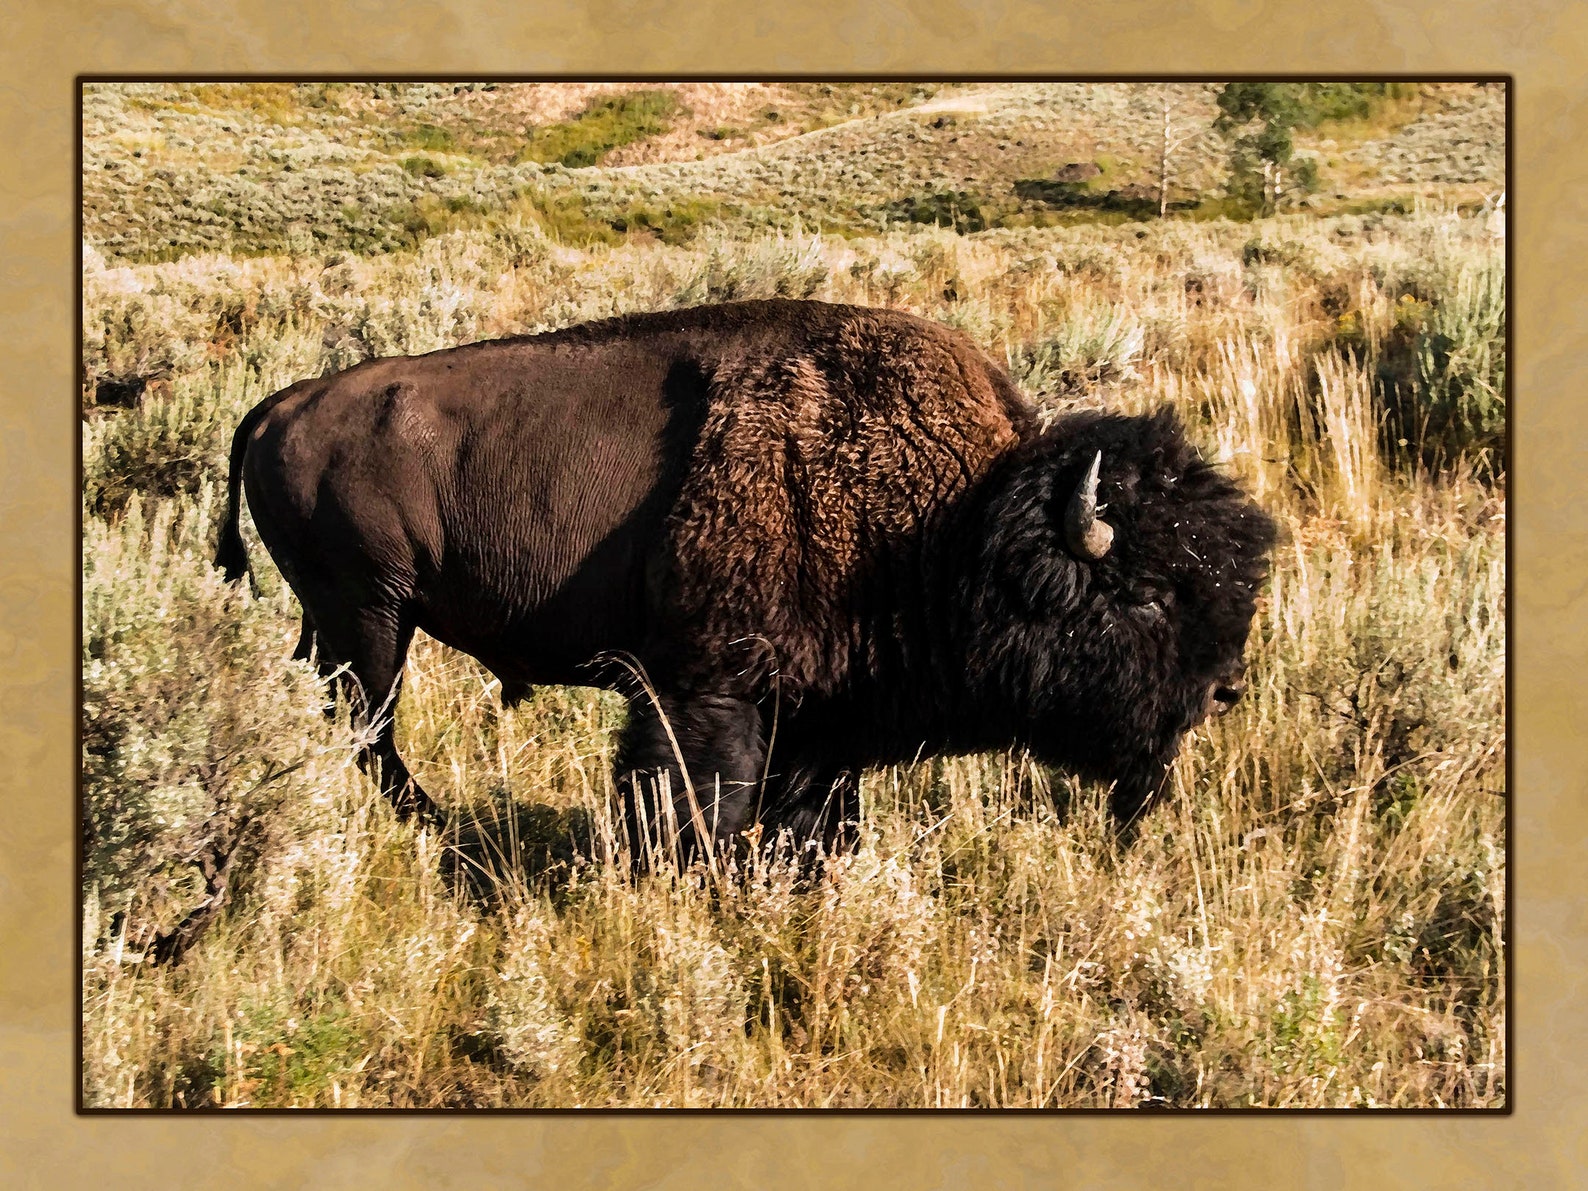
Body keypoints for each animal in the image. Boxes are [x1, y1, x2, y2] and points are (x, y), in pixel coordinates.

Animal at [214, 299, 1276, 863]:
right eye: (1143, 592)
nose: (1225, 689)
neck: (952, 522)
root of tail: (275, 405)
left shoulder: (822, 715)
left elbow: (816, 813)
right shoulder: (707, 690)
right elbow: (704, 802)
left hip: (338, 619)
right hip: (373, 616)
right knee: (372, 729)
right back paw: (446, 835)